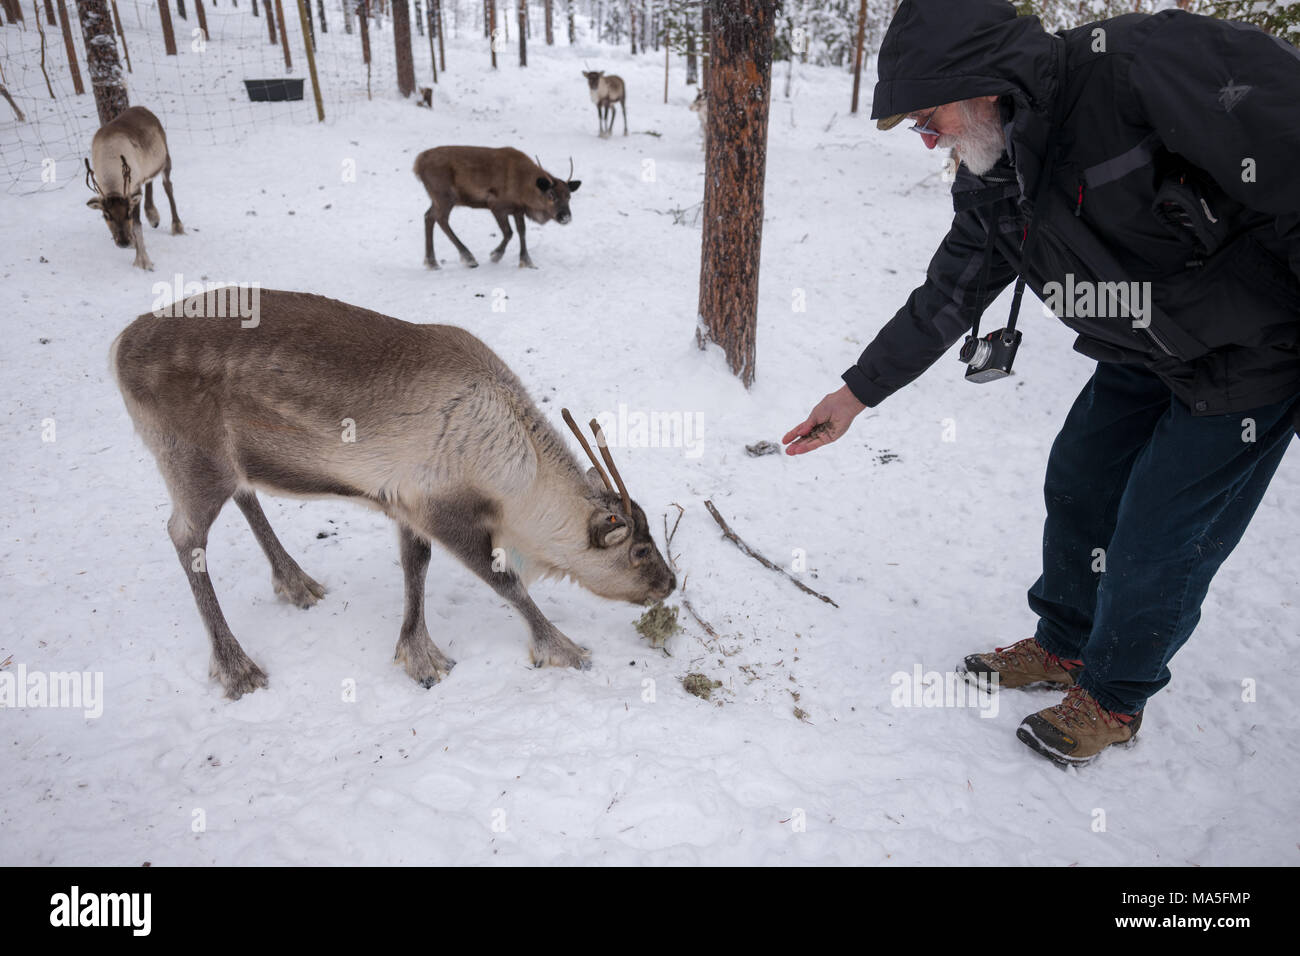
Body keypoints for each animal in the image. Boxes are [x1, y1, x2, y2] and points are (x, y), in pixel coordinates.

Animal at [84, 106, 182, 271]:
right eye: (106, 216)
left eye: (128, 213)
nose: (124, 242)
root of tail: (143, 108)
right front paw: (135, 246)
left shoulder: (134, 189)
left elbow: (137, 226)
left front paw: (143, 261)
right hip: (146, 169)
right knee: (150, 181)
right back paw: (152, 215)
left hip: (164, 158)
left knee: (167, 186)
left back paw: (177, 226)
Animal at [110, 289, 676, 700]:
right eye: (639, 550)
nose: (670, 584)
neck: (516, 475)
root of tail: (118, 346)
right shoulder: (445, 511)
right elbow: (506, 582)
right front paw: (563, 649)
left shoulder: (407, 504)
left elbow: (415, 567)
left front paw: (418, 653)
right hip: (189, 459)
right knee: (184, 536)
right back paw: (237, 668)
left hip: (232, 462)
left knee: (245, 495)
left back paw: (296, 582)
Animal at [414, 146, 581, 270]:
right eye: (551, 195)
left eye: (569, 196)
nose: (565, 216)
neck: (523, 185)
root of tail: (417, 163)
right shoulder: (496, 206)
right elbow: (509, 232)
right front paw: (495, 255)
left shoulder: (518, 210)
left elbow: (522, 231)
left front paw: (527, 261)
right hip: (445, 197)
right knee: (440, 219)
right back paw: (469, 258)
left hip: (438, 199)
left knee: (428, 216)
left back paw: (432, 262)